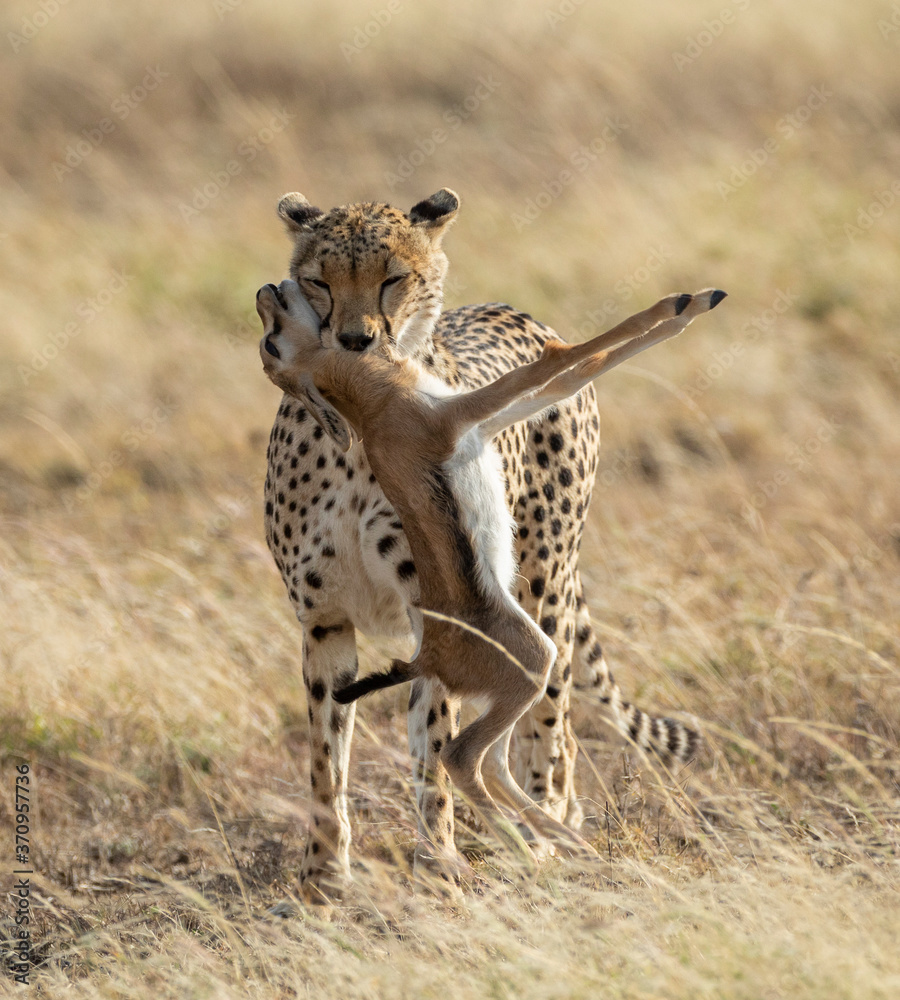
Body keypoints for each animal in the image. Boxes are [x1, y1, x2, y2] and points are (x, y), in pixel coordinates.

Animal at [256, 279, 726, 861]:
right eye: (270, 345)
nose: (265, 291)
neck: (365, 396)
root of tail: (426, 653)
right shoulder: (472, 410)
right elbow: (574, 357)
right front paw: (685, 306)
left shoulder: (488, 420)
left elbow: (576, 371)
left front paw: (687, 306)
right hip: (535, 654)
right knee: (462, 756)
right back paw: (527, 846)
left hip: (510, 676)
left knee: (495, 761)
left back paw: (559, 840)